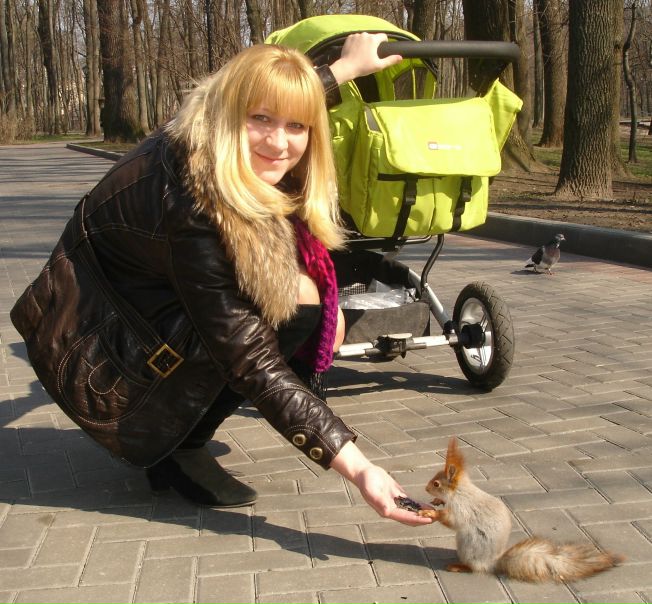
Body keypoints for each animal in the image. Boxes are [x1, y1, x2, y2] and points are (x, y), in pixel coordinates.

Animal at [415, 437, 623, 583]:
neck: (459, 492)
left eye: (436, 483)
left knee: (475, 568)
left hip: (469, 548)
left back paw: (458, 566)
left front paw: (431, 513)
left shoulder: (462, 508)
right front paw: (436, 501)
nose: (426, 488)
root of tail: (493, 561)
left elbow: (452, 520)